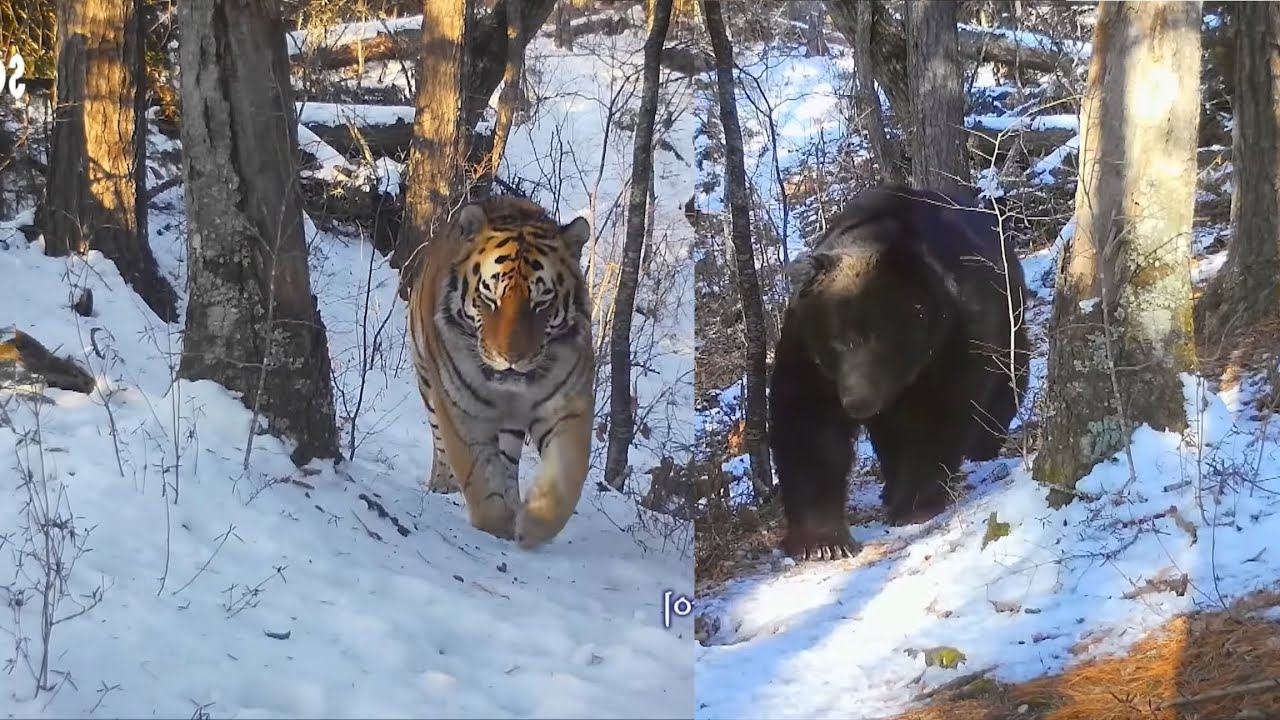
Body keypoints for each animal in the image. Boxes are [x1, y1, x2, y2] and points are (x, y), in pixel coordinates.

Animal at [406, 196, 596, 549]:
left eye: (542, 301)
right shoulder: (462, 410)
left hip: (510, 428)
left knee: (507, 462)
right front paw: (495, 526)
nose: (510, 358)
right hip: (426, 381)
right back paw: (442, 484)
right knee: (440, 442)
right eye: (489, 297)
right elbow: (478, 474)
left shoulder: (567, 406)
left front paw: (533, 524)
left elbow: (567, 475)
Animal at [768, 185, 1030, 561]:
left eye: (879, 335)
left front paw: (914, 503)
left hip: (1012, 316)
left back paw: (982, 447)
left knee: (1007, 382)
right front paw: (824, 541)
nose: (857, 401)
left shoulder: (954, 338)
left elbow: (941, 416)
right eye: (837, 339)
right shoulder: (809, 351)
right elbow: (808, 426)